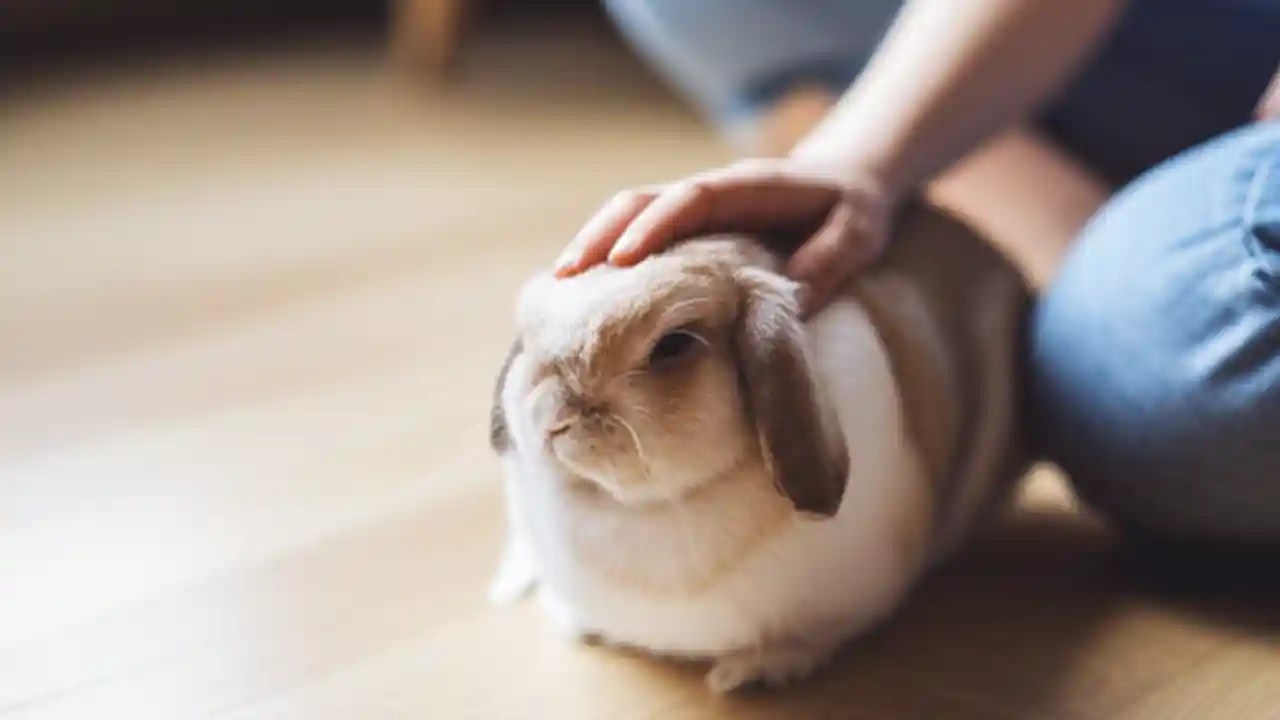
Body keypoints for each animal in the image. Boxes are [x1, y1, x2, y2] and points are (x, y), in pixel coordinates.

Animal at [487, 202, 1031, 693]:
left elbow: (817, 635)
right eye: (528, 335)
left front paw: (752, 670)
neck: (650, 509)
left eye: (673, 345)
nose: (551, 401)